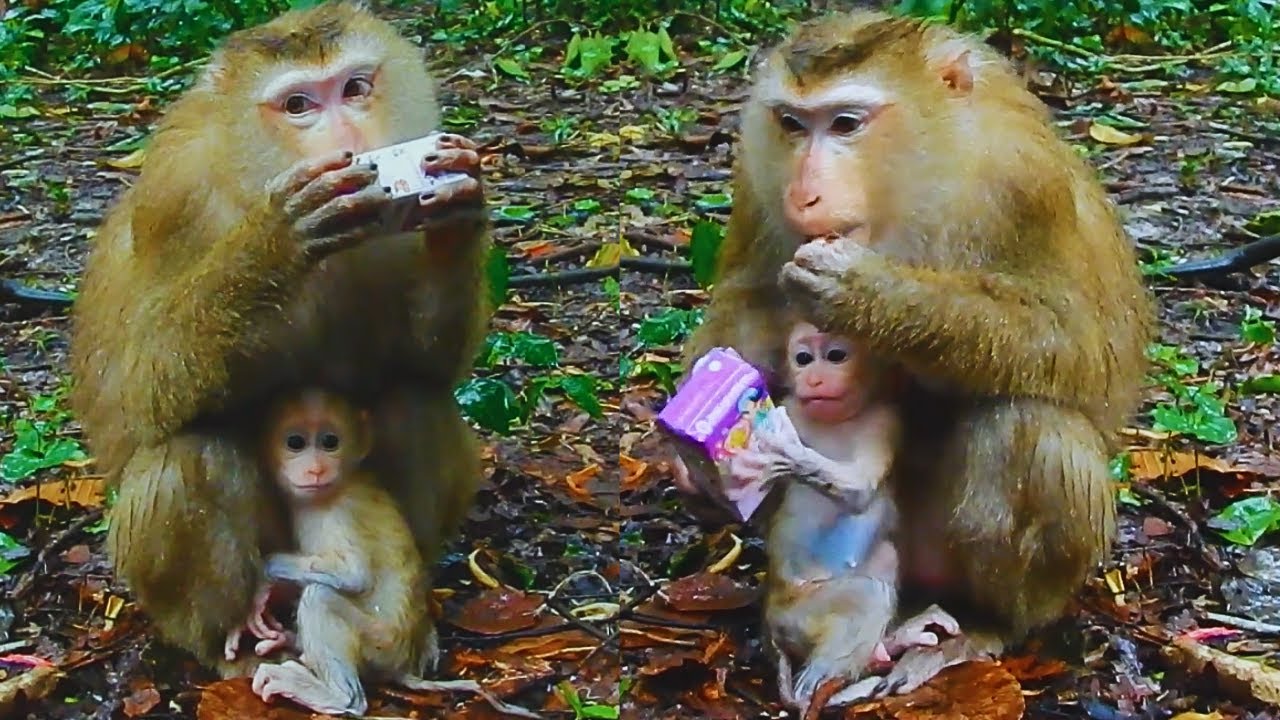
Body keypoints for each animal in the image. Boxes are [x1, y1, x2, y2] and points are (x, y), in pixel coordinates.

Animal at [68, 1, 491, 678]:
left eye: (354, 88)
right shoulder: (175, 197)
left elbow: (423, 364)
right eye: (298, 105)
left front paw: (456, 205)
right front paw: (278, 238)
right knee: (191, 457)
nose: (351, 144)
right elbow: (138, 390)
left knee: (412, 400)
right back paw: (234, 645)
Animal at [727, 319, 959, 713]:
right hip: (797, 616)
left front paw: (789, 453)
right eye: (803, 358)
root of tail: (769, 619)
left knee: (879, 567)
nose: (814, 378)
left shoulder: (885, 420)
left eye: (836, 355)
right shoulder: (791, 406)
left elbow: (861, 489)